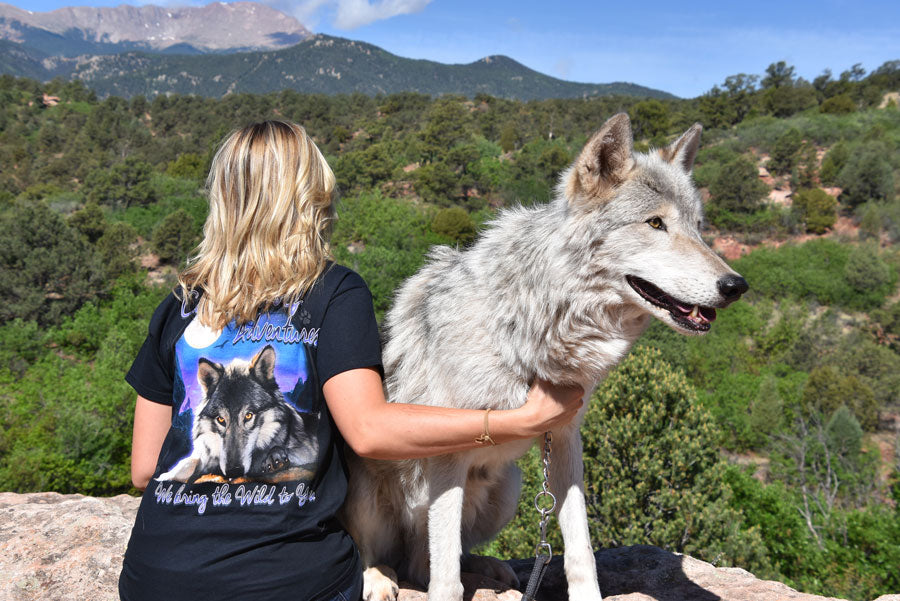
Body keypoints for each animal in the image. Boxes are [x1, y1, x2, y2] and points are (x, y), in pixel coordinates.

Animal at [159, 344, 319, 483]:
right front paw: (166, 475)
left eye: (248, 415)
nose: (233, 472)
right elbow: (189, 461)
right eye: (220, 419)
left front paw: (275, 458)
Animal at [341, 113, 748, 601]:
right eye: (655, 223)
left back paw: (490, 569)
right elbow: (445, 582)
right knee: (388, 557)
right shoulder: (446, 453)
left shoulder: (566, 438)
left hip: (508, 489)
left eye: (699, 227)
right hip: (364, 489)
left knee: (429, 561)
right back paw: (379, 578)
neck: (532, 332)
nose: (736, 285)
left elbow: (580, 548)